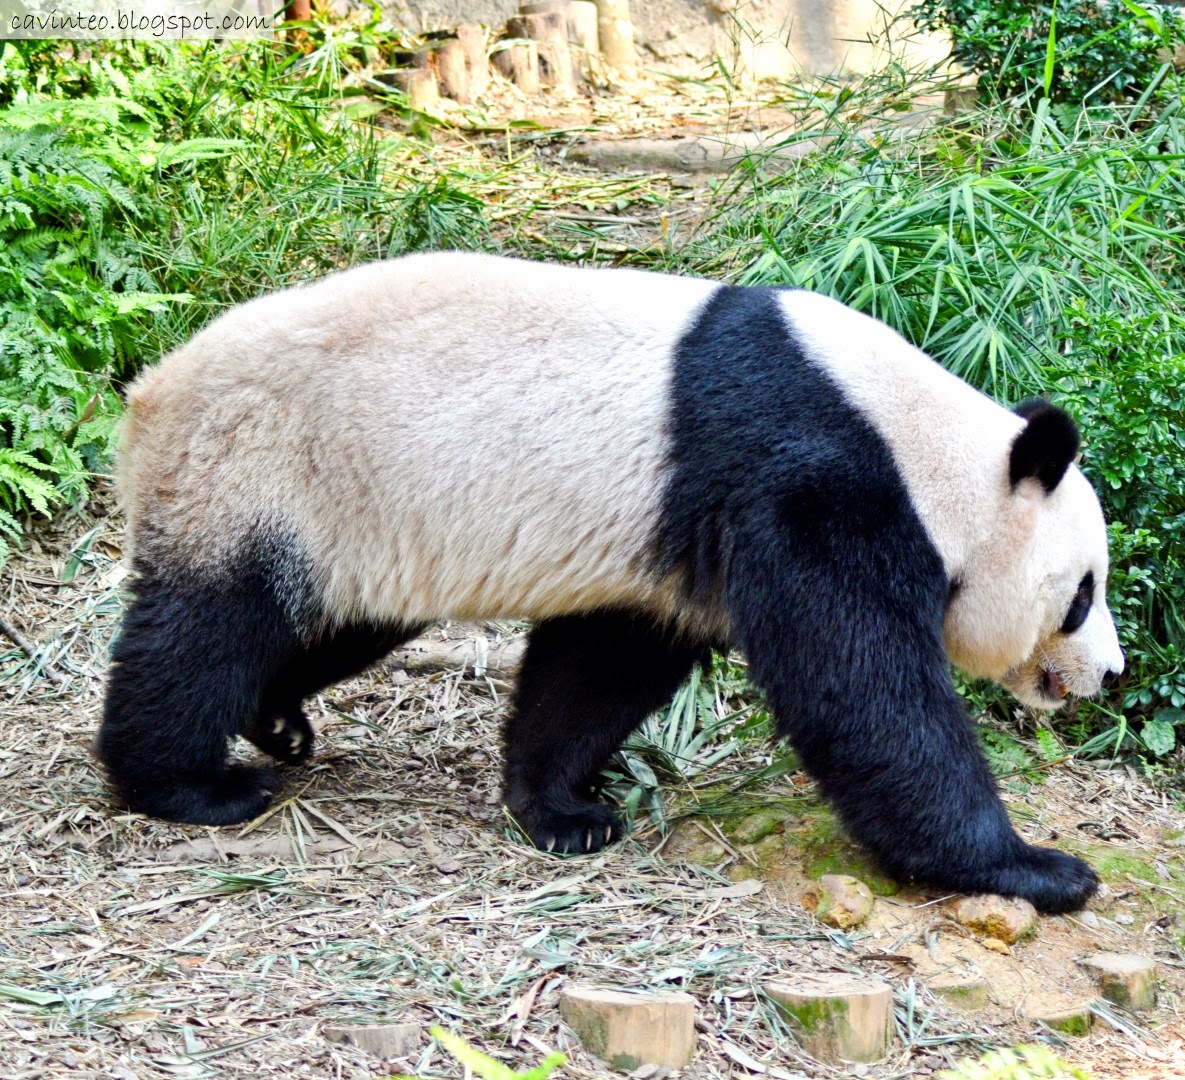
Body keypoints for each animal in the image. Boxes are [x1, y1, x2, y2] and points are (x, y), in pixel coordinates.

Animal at [98, 252, 1125, 914]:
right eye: (1081, 592)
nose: (1109, 674)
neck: (928, 449)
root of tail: (146, 398)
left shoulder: (666, 546)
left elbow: (603, 665)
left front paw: (559, 810)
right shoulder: (811, 486)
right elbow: (864, 692)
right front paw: (1034, 869)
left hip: (352, 521)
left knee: (332, 625)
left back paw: (275, 718)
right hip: (263, 466)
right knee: (205, 632)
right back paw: (189, 784)